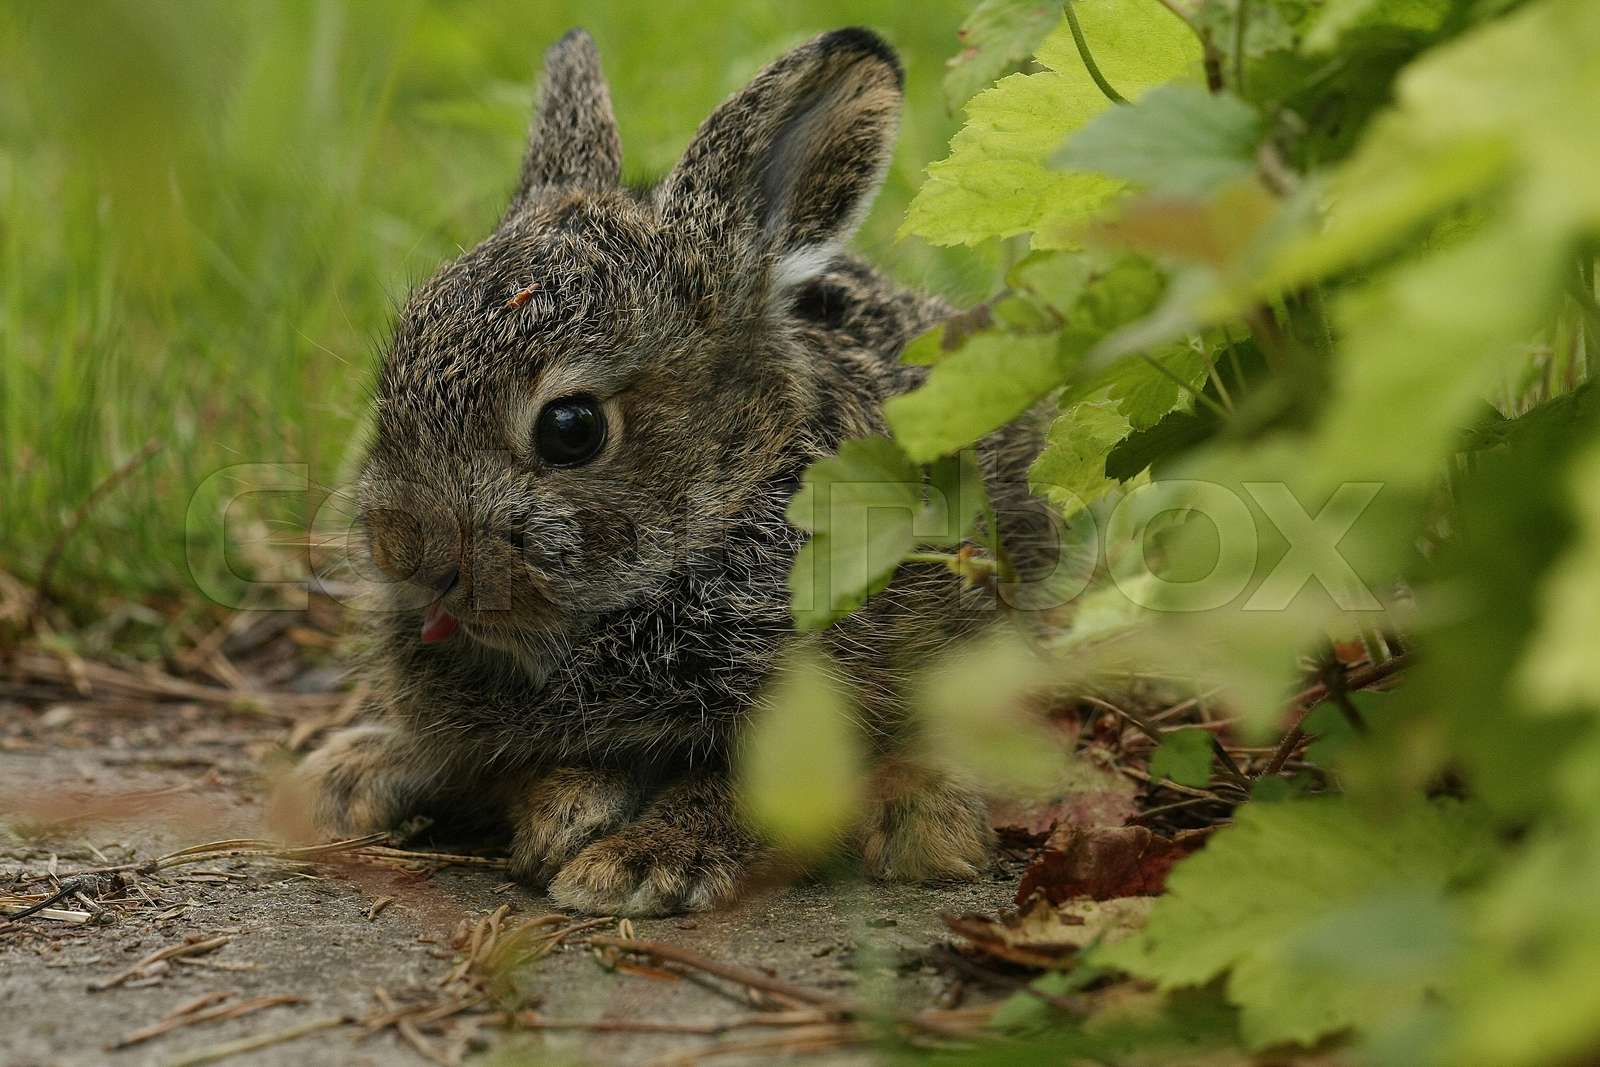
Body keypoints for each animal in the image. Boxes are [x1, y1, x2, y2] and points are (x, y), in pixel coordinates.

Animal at [293, 27, 1060, 917]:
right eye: (395, 372)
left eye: (572, 429)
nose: (410, 557)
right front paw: (561, 810)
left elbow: (738, 790)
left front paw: (636, 862)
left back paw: (926, 822)